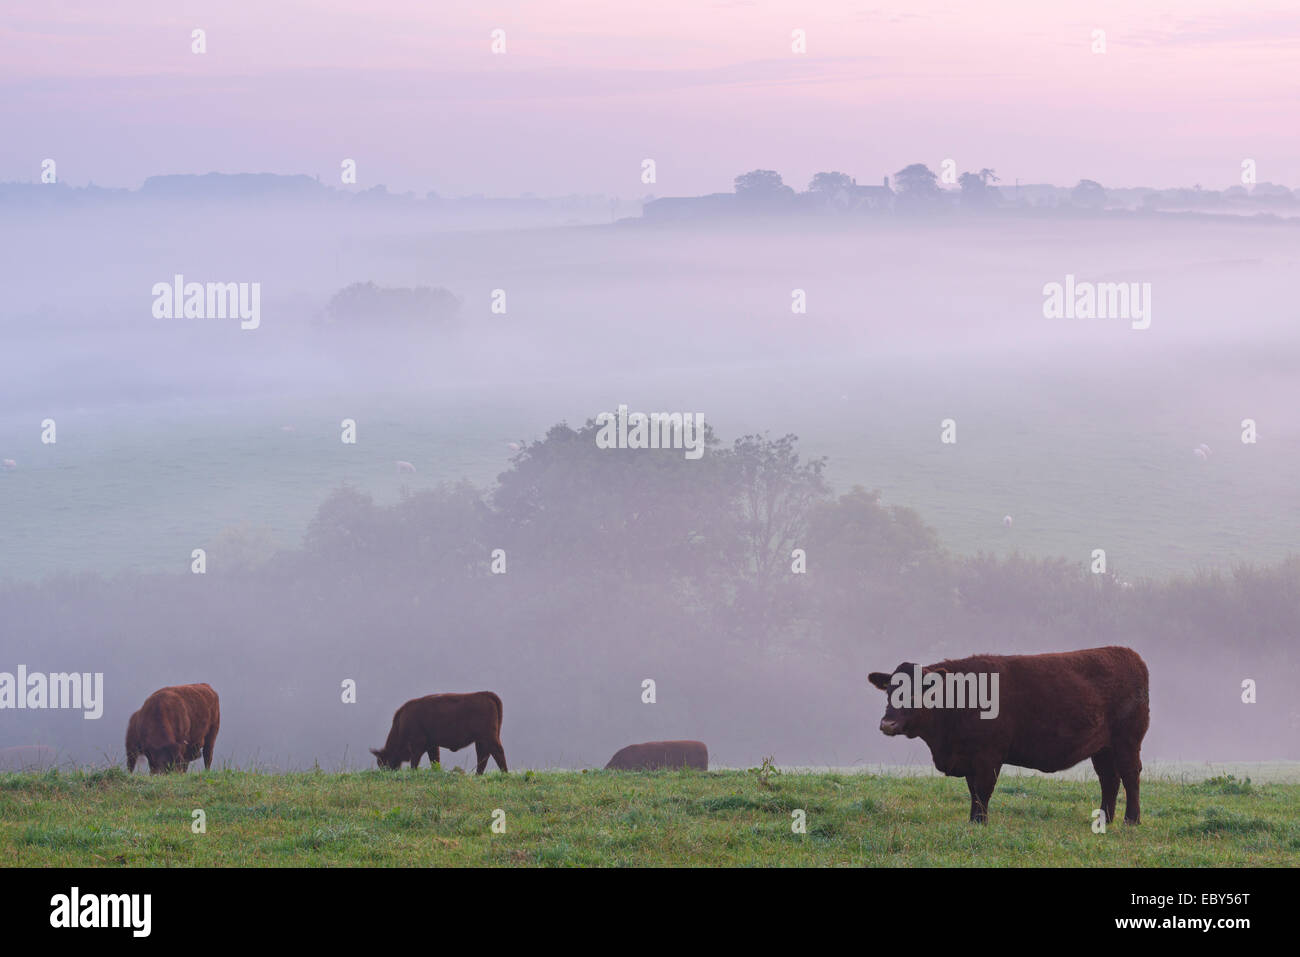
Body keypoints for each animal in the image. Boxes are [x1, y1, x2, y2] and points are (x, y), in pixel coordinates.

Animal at [371, 691, 507, 774]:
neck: (400, 724)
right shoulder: (432, 746)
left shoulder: (417, 746)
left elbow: (415, 762)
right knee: (483, 756)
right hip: (481, 741)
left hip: (488, 738)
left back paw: (504, 773)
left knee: (497, 752)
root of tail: (485, 694)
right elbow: (434, 760)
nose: (386, 773)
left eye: (383, 762)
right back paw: (478, 776)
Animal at [868, 646, 1149, 824]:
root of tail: (1128, 653)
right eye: (889, 690)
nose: (887, 723)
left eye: (916, 692)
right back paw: (1106, 819)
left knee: (1130, 775)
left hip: (1128, 740)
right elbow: (973, 791)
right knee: (1109, 779)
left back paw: (1131, 820)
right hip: (1103, 748)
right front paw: (973, 821)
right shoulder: (969, 757)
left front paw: (980, 823)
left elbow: (983, 789)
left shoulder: (988, 755)